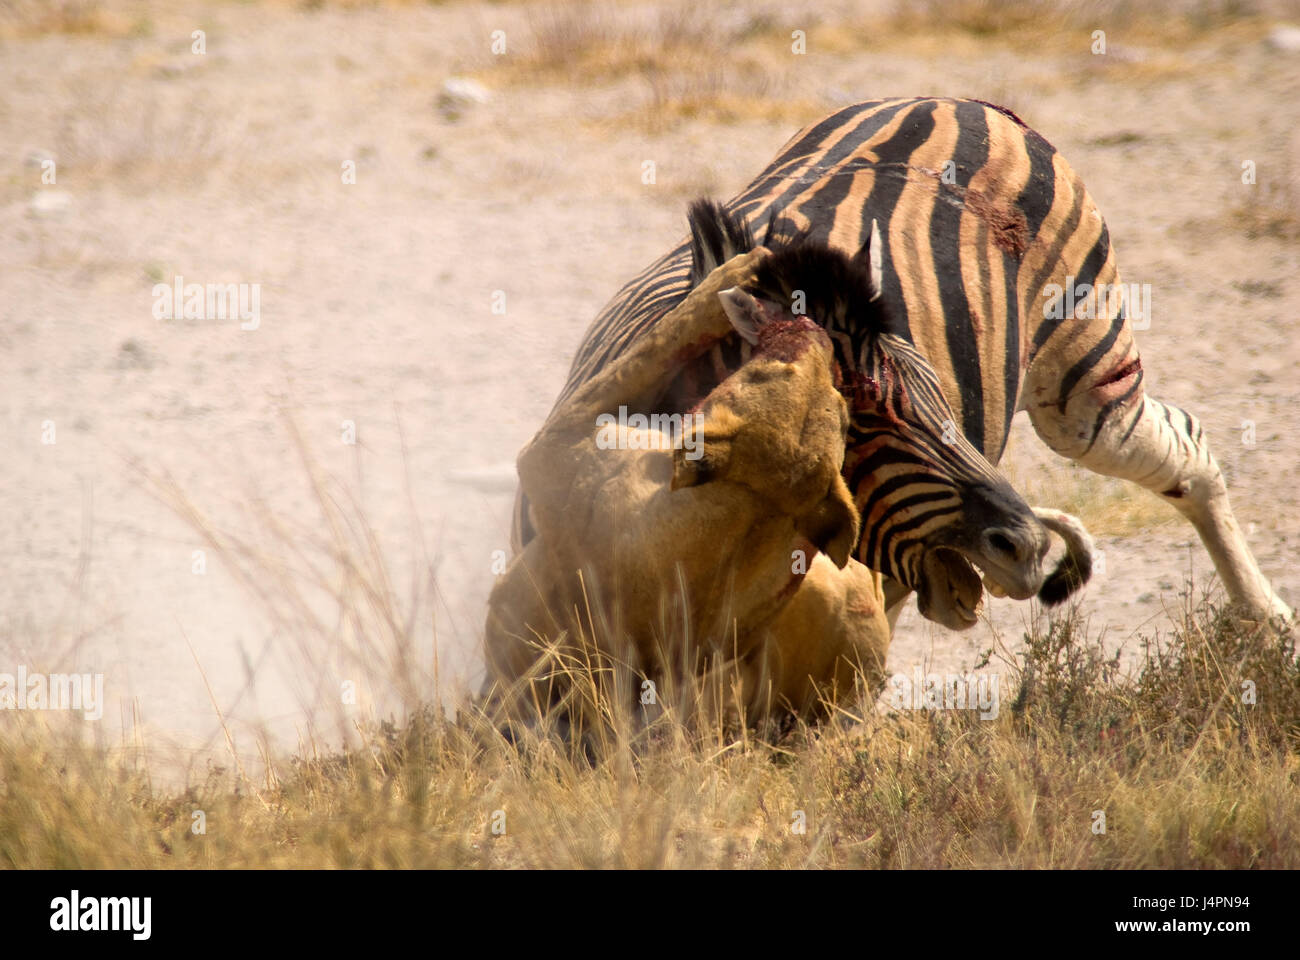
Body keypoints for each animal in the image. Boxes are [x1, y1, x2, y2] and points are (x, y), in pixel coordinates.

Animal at [516, 97, 1291, 628]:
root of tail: (958, 101)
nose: (1028, 550)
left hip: (1083, 386)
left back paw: (1266, 622)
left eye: (940, 399)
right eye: (858, 417)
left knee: (1186, 448)